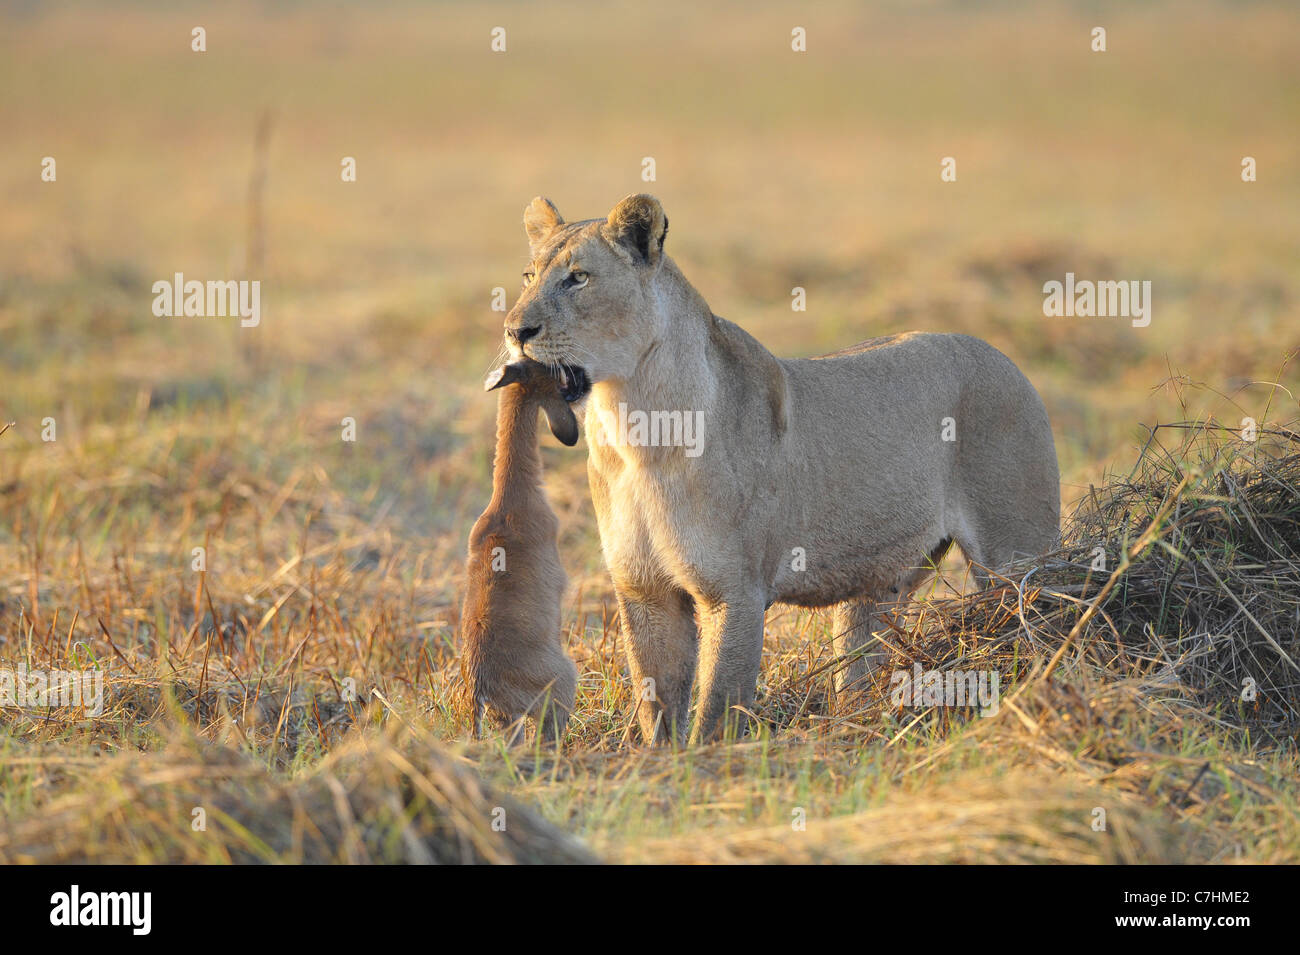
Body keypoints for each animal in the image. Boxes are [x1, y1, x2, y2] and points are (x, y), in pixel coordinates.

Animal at [500, 194, 1060, 744]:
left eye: (578, 278)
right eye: (528, 276)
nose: (514, 330)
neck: (632, 423)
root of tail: (1004, 357)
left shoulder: (735, 592)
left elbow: (717, 708)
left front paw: (706, 765)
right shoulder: (643, 591)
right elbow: (655, 704)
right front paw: (656, 763)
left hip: (1016, 557)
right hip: (879, 586)